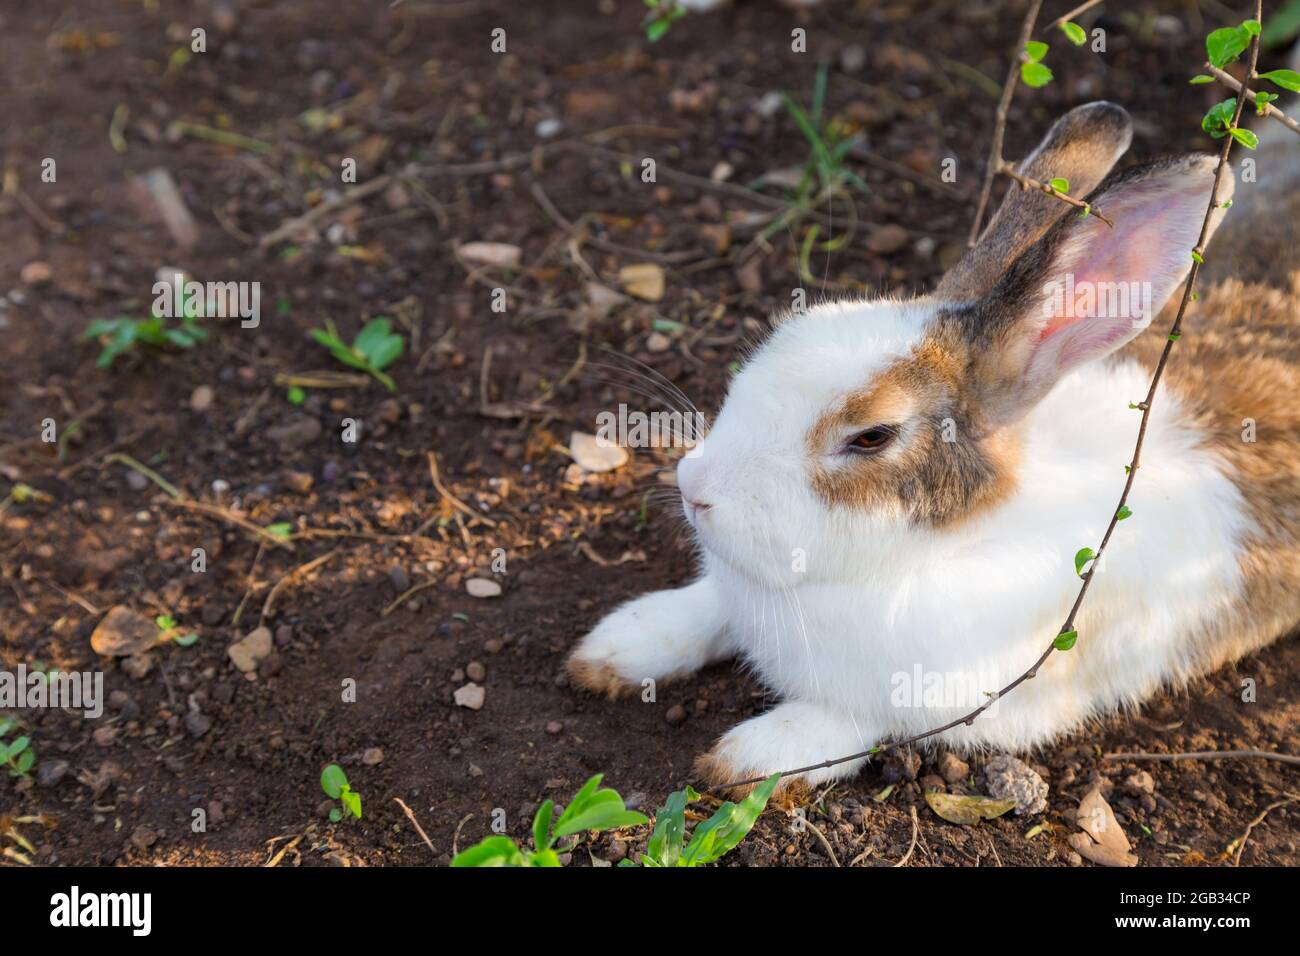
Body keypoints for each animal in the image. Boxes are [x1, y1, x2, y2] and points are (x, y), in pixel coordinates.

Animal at [567, 96, 1300, 801]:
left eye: (872, 436)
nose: (695, 488)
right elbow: (705, 609)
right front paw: (614, 649)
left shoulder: (930, 699)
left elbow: (841, 725)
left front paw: (745, 757)